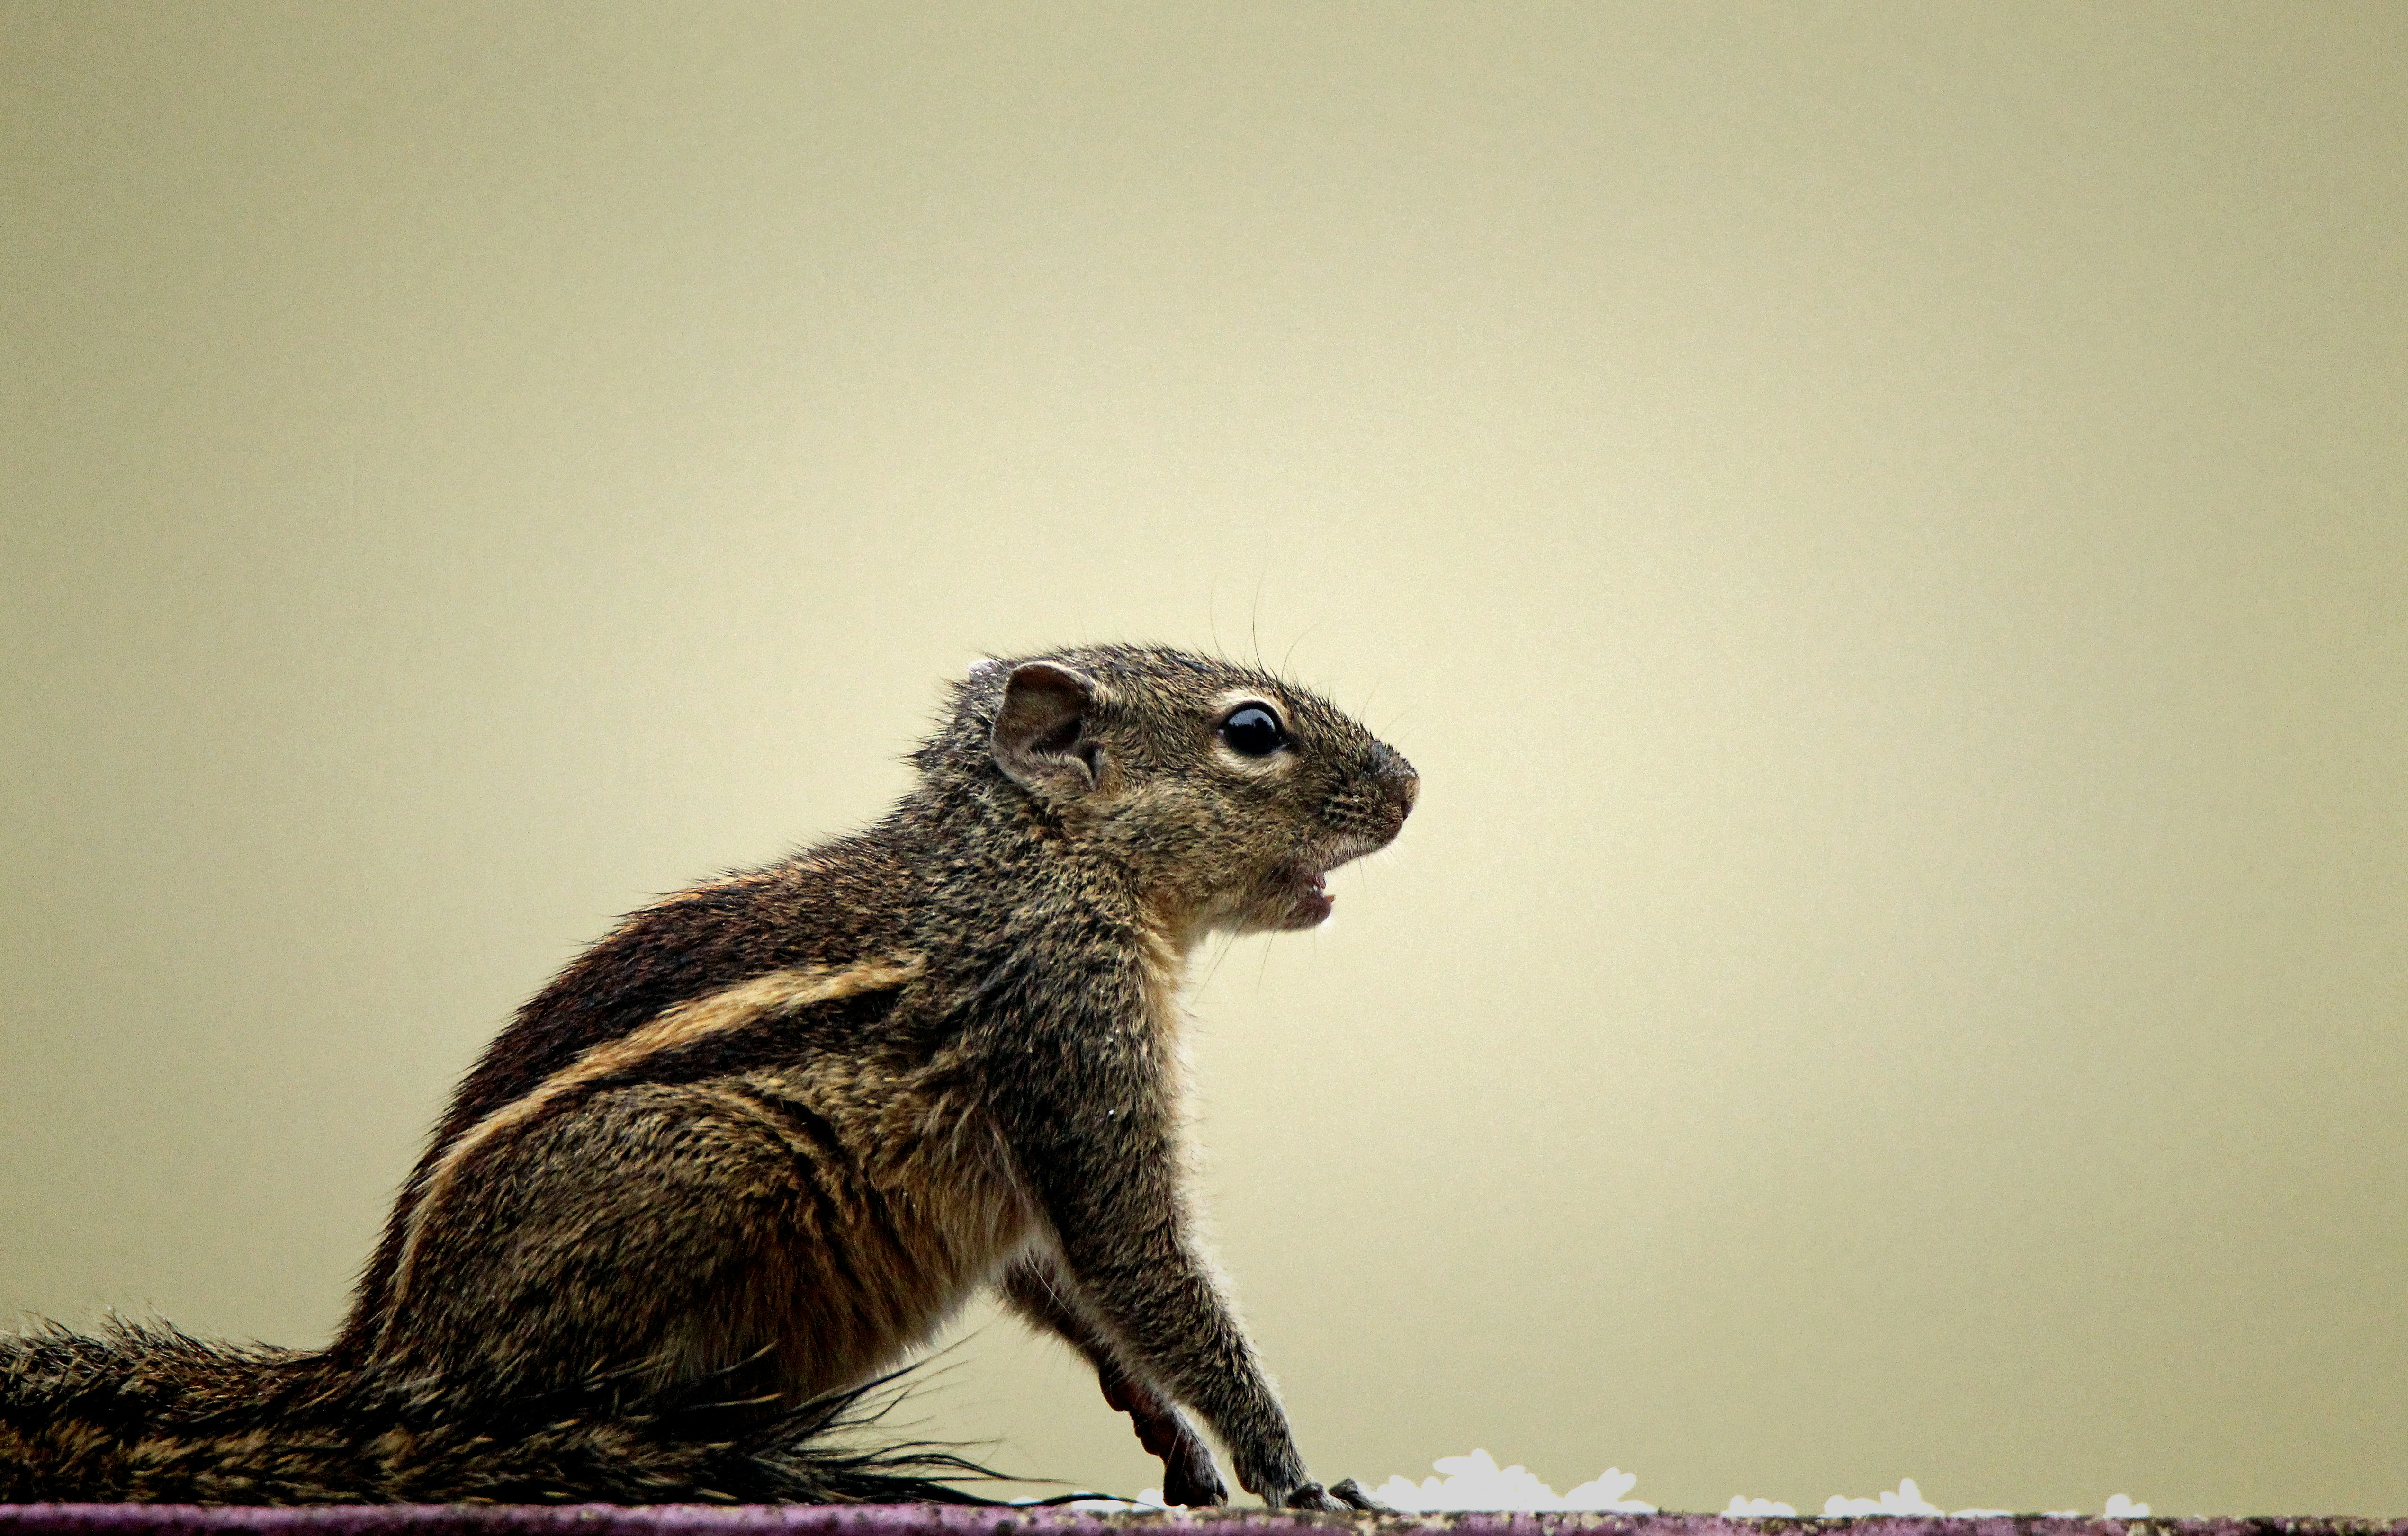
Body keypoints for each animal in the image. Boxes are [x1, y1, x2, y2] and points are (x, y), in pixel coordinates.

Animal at [1, 645, 1418, 1510]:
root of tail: (374, 1360)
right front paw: (1298, 1481)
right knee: (520, 1426)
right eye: (1252, 730)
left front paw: (1176, 1446)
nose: (1411, 782)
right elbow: (1143, 1266)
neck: (1027, 859)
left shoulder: (1031, 1173)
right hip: (716, 1164)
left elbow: (1078, 1299)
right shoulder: (1071, 1030)